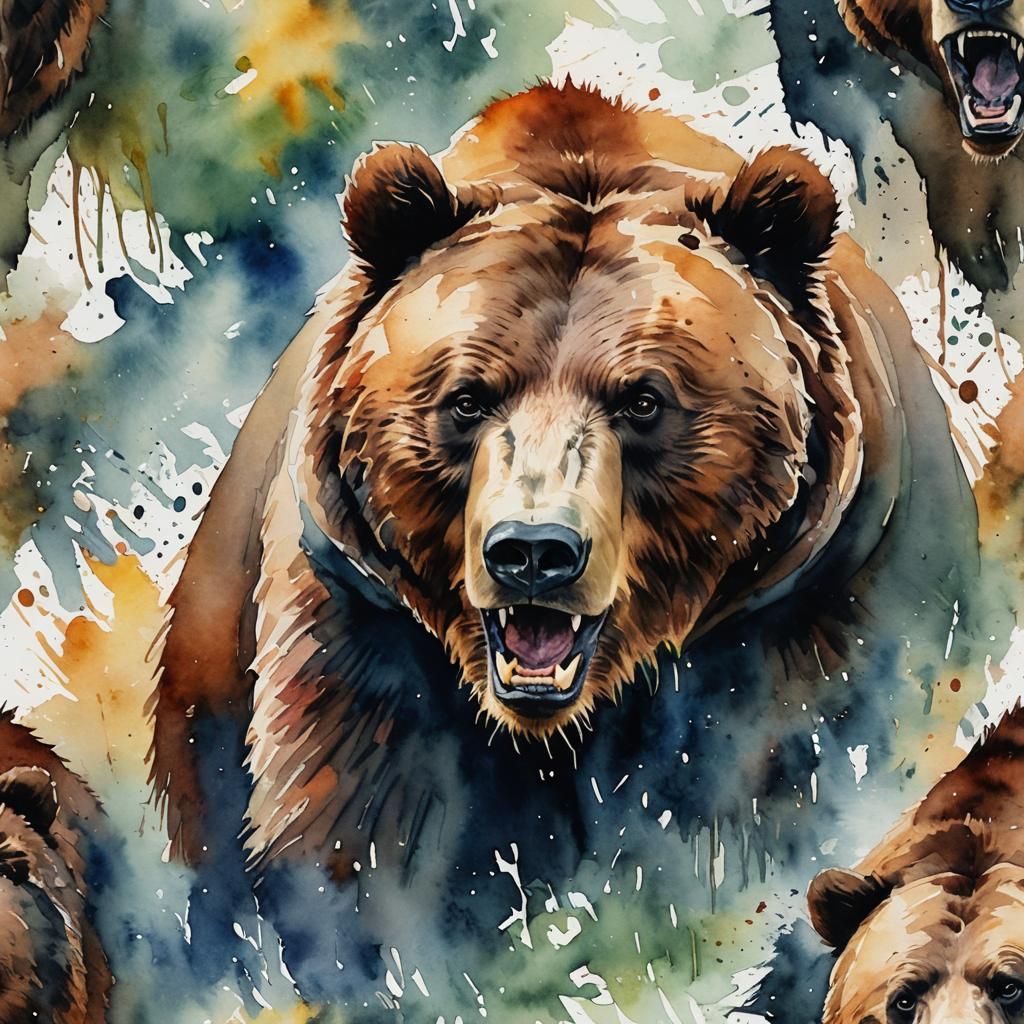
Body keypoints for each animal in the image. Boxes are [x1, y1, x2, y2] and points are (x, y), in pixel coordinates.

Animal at [147, 81, 996, 1014]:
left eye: (643, 399)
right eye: (468, 397)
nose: (533, 551)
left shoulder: (818, 613)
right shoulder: (361, 638)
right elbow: (360, 851)